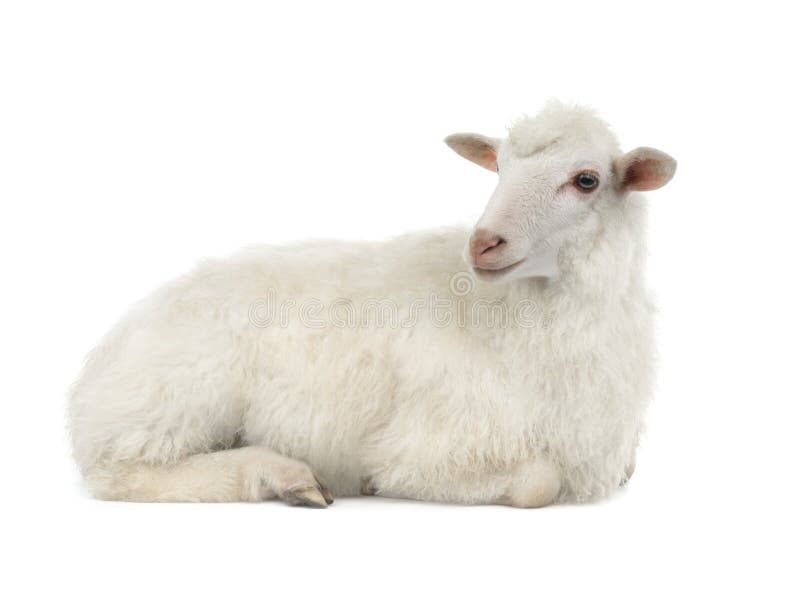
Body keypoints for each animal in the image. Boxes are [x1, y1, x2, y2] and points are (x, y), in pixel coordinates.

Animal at [68, 100, 676, 508]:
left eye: (586, 180)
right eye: (499, 168)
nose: (482, 243)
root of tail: (102, 359)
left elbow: (625, 467)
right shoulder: (424, 446)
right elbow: (538, 482)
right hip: (182, 393)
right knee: (122, 472)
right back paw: (283, 476)